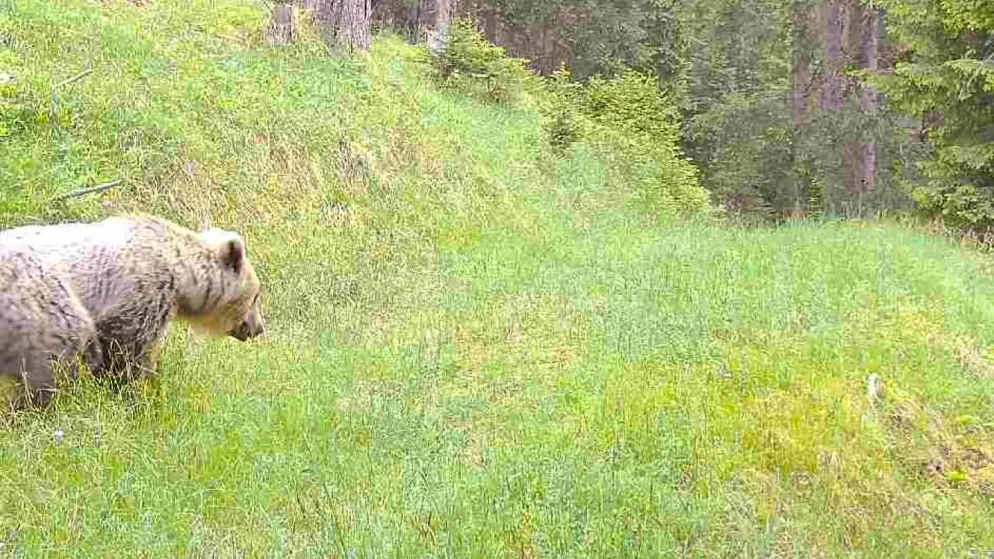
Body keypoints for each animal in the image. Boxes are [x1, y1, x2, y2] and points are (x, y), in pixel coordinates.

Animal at [0, 214, 265, 408]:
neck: (183, 278)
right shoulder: (143, 293)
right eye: (255, 296)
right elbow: (127, 353)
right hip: (36, 303)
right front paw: (134, 393)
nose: (258, 328)